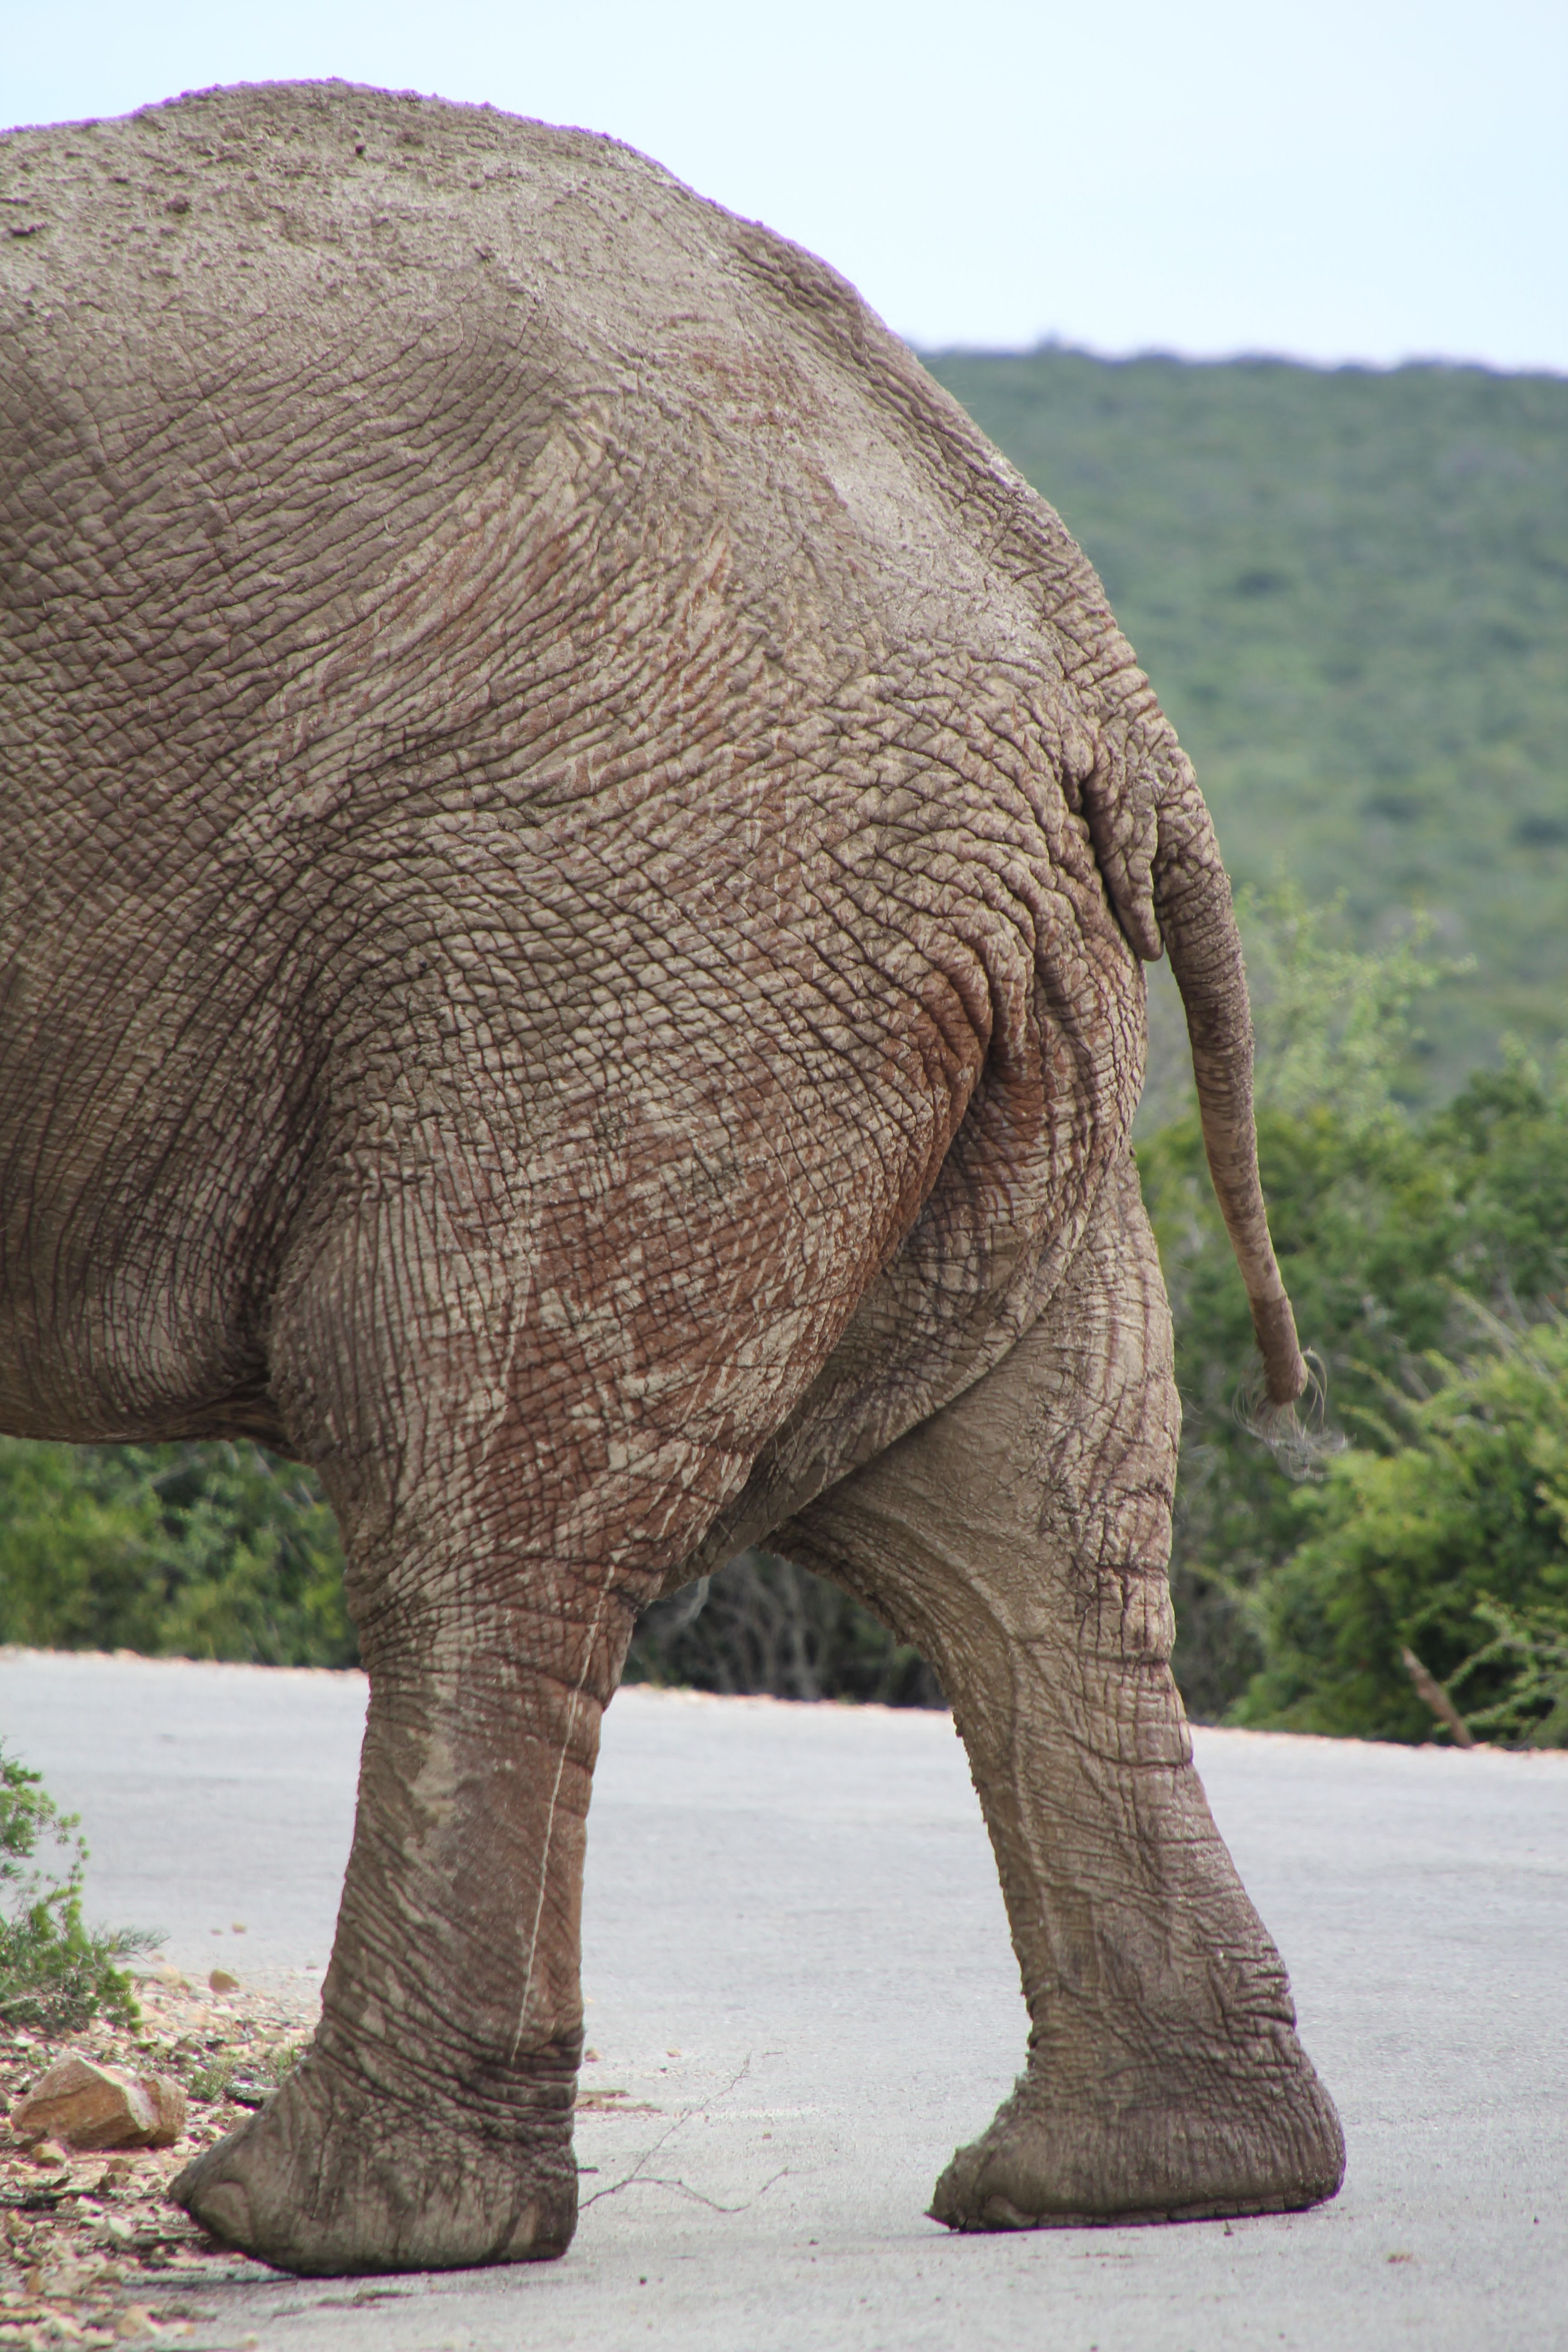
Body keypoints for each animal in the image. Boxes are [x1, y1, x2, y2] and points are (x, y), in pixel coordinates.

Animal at [0, 80, 1345, 2274]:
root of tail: (1075, 639)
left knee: (461, 1459)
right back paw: (1129, 2182)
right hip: (883, 953)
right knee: (1027, 1515)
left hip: (624, 906)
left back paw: (323, 2221)